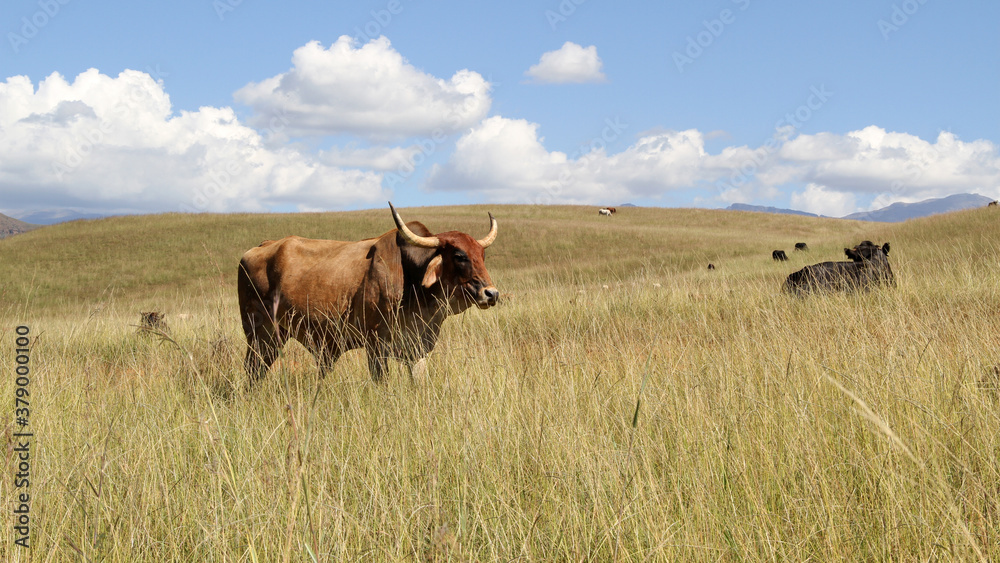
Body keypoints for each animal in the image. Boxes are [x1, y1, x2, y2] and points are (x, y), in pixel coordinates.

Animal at [237, 203, 499, 385]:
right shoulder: (376, 344)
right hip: (260, 334)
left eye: (482, 255)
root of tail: (260, 247)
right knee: (252, 370)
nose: (491, 293)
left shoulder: (418, 346)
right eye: (459, 256)